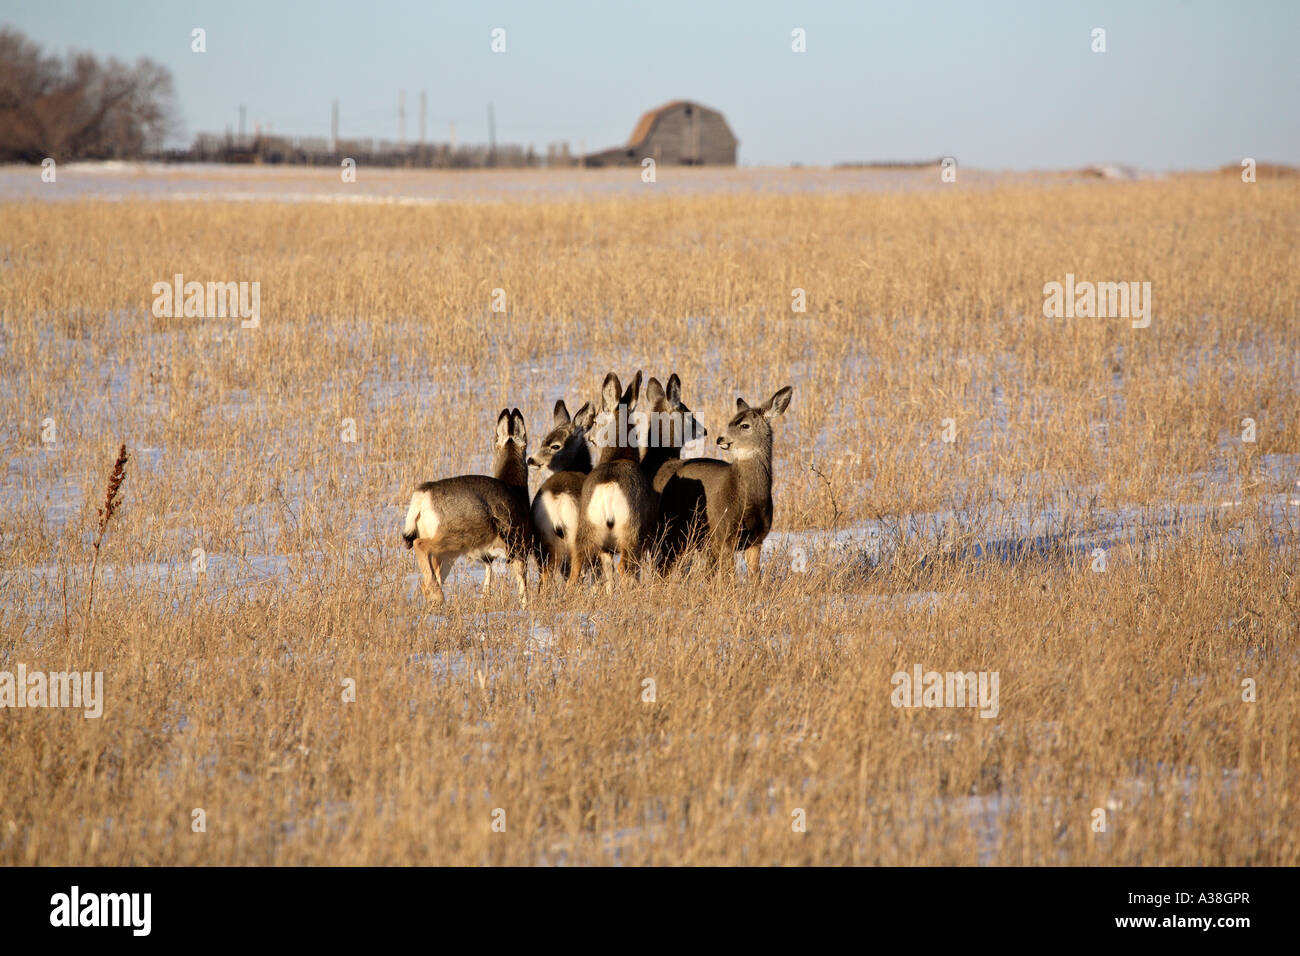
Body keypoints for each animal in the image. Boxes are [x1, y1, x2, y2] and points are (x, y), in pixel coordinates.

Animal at [401, 408, 534, 607]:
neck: (517, 491)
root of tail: (423, 494)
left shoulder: (489, 556)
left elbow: (488, 581)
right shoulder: (519, 546)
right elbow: (522, 583)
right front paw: (526, 606)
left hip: (446, 549)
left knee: (430, 576)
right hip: (462, 534)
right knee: (420, 545)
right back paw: (437, 595)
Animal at [527, 398, 597, 585]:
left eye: (555, 445)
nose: (531, 460)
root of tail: (557, 498)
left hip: (543, 544)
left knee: (545, 580)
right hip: (578, 538)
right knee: (574, 577)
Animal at [575, 371, 657, 593]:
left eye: (595, 421)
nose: (589, 436)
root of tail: (608, 488)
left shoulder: (606, 549)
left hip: (588, 530)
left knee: (576, 571)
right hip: (631, 532)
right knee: (625, 568)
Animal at [656, 385, 793, 580]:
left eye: (745, 425)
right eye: (730, 422)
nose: (720, 439)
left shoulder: (756, 539)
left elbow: (755, 577)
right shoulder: (723, 536)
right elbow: (730, 579)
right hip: (672, 529)